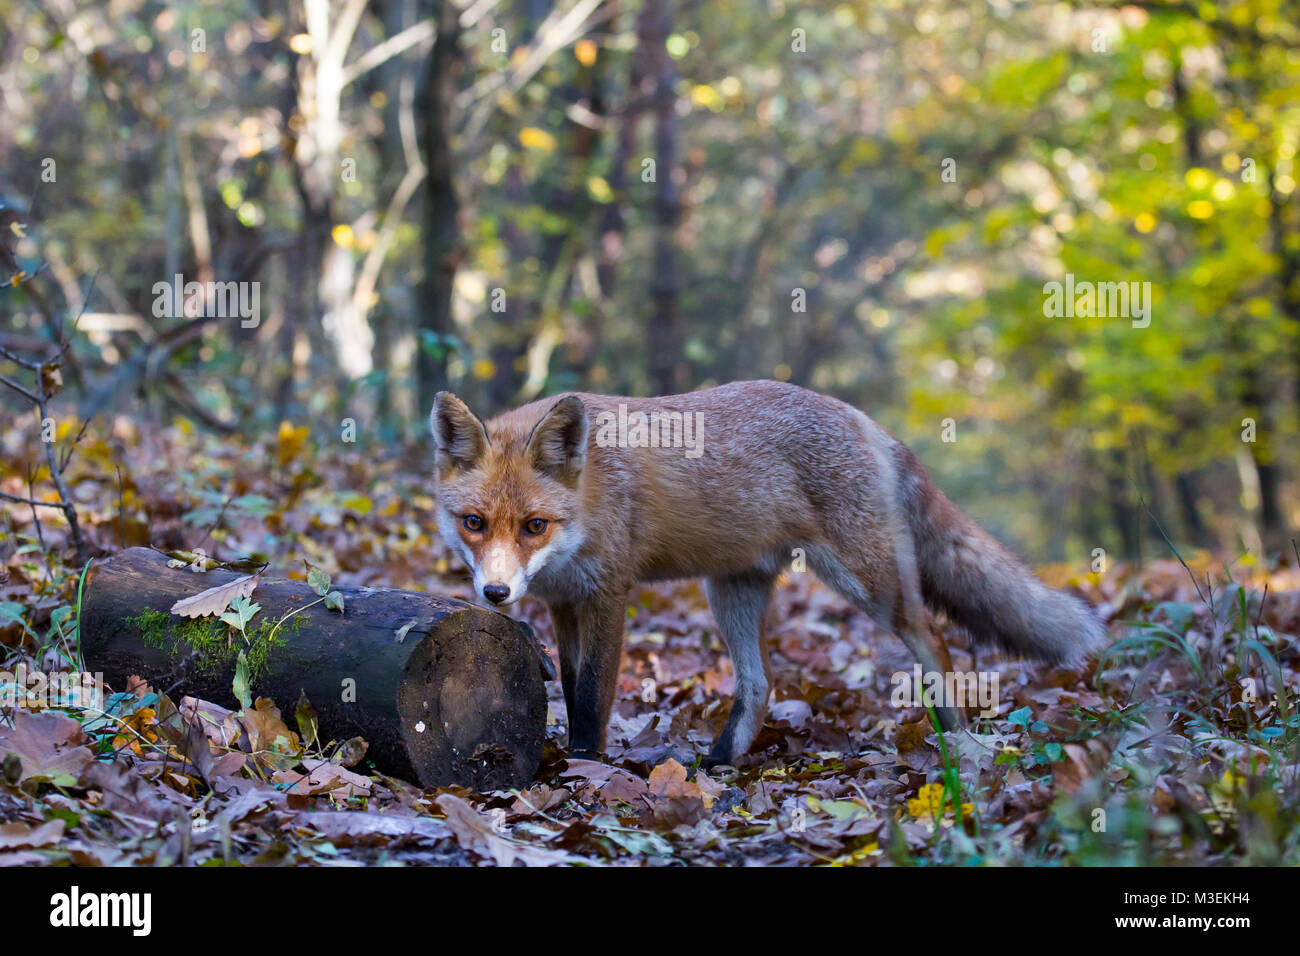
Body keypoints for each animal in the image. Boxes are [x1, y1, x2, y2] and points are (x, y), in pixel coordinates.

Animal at [429, 379, 1106, 766]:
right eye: (474, 523)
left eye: (534, 526)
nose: (495, 592)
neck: (592, 491)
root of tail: (866, 421)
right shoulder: (563, 603)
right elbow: (571, 692)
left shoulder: (606, 595)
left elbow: (593, 699)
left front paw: (584, 770)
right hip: (731, 592)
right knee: (762, 683)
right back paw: (719, 763)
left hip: (869, 581)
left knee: (935, 639)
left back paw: (955, 738)